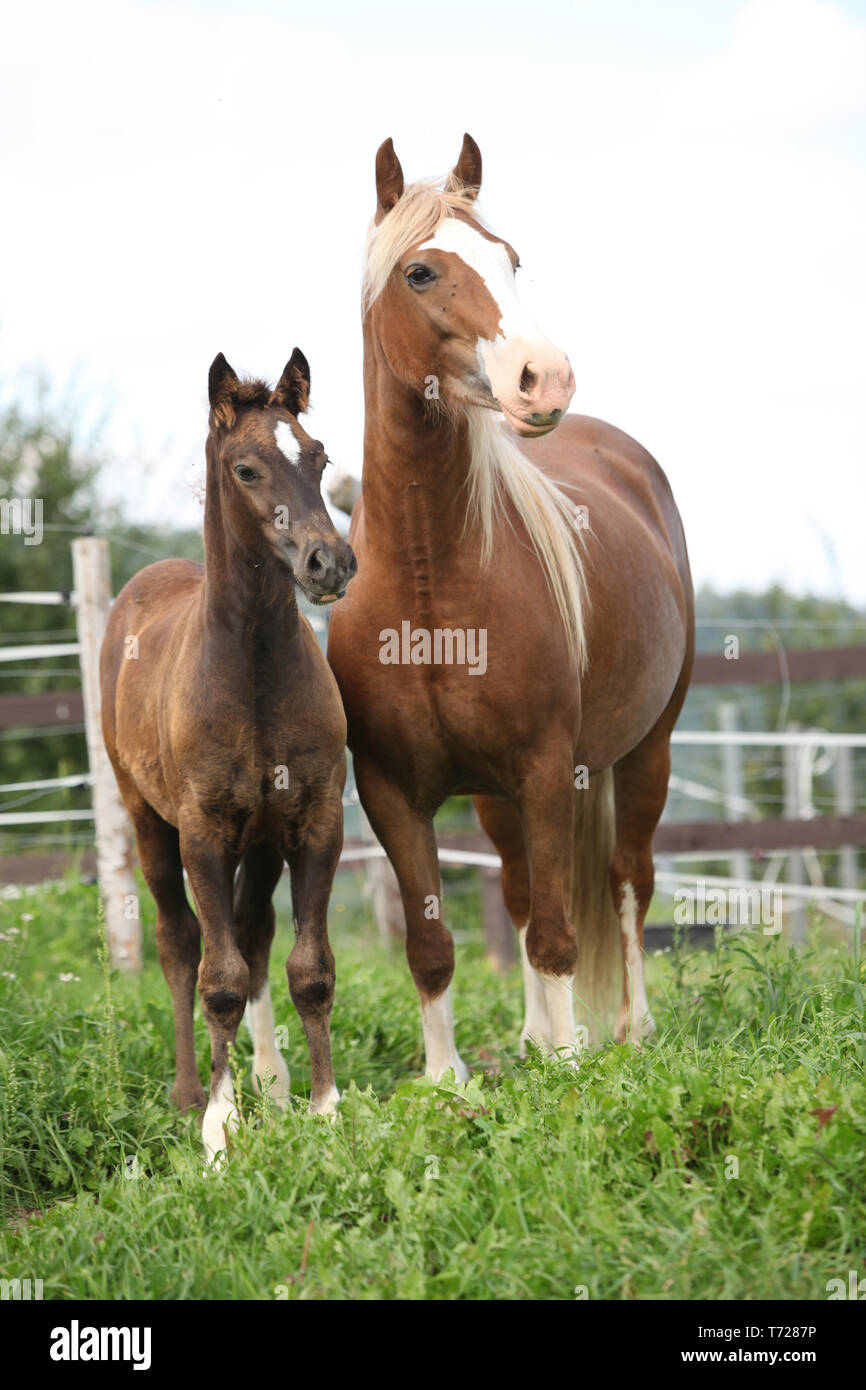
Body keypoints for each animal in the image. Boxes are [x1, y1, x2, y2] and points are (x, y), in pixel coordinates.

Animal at [100, 351, 356, 1160]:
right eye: (246, 469)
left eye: (319, 457)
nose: (330, 562)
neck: (252, 672)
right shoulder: (204, 832)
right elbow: (217, 976)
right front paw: (218, 1128)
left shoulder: (314, 822)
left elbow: (308, 968)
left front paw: (322, 1110)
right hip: (147, 820)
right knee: (181, 941)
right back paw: (188, 1094)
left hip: (263, 840)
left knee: (254, 935)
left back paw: (269, 1083)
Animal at [327, 135, 694, 1078]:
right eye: (421, 271)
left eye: (511, 259)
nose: (546, 377)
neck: (430, 585)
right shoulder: (393, 792)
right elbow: (436, 943)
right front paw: (447, 1080)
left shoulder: (546, 768)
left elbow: (562, 933)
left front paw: (567, 1067)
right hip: (496, 799)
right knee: (525, 891)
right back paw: (530, 1037)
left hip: (645, 752)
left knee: (626, 882)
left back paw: (628, 1032)